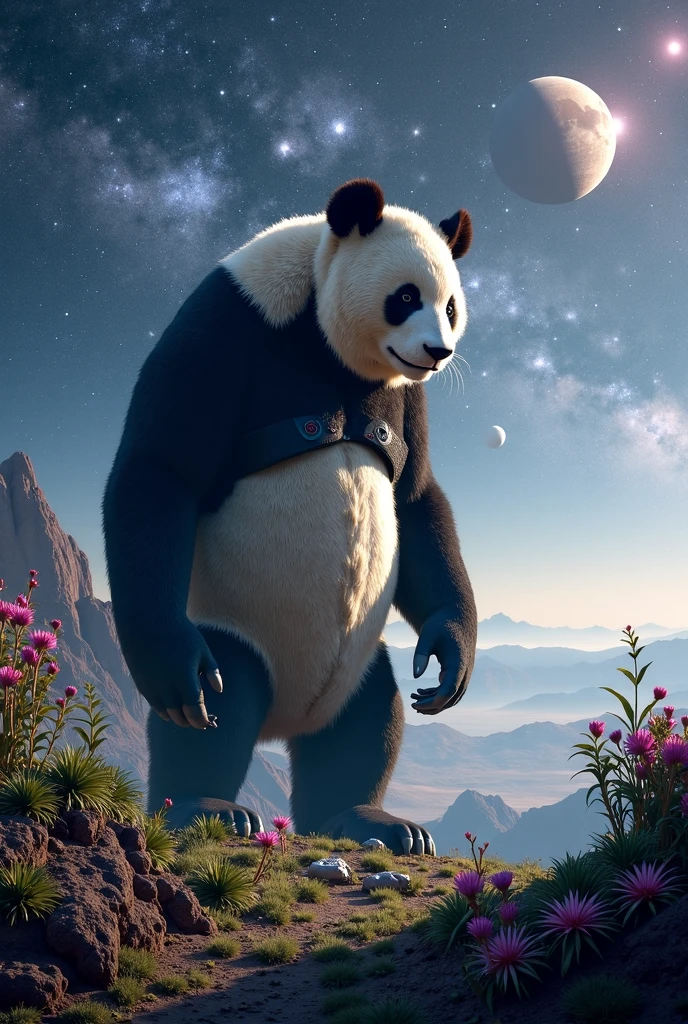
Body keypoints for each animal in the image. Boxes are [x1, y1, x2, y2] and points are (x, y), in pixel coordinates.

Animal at [102, 178, 478, 856]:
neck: (323, 341)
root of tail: (285, 722)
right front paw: (169, 673)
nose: (439, 352)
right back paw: (206, 806)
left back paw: (371, 821)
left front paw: (448, 657)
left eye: (453, 305)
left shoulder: (405, 397)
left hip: (357, 662)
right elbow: (160, 469)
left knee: (368, 719)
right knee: (219, 700)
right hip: (232, 622)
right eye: (406, 297)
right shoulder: (230, 323)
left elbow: (417, 499)